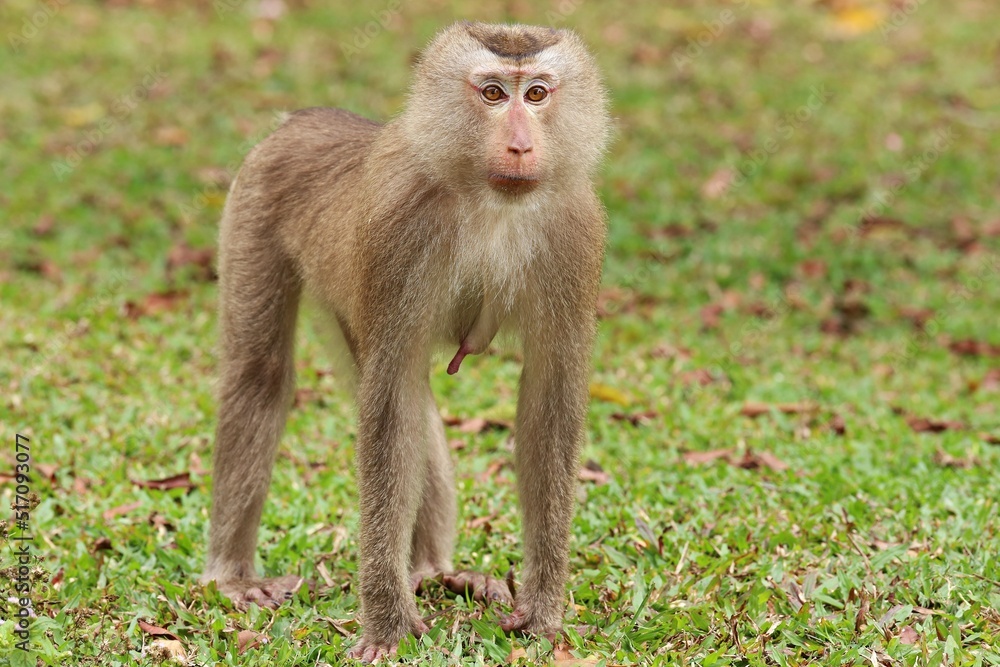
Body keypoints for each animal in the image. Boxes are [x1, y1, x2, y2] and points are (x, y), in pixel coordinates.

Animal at [202, 21, 610, 663]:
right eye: (493, 94)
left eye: (538, 93)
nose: (521, 145)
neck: (487, 199)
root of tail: (308, 117)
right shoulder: (399, 228)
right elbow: (390, 400)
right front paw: (387, 622)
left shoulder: (575, 227)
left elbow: (549, 400)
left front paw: (543, 611)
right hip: (254, 205)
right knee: (260, 371)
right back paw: (234, 576)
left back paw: (436, 570)